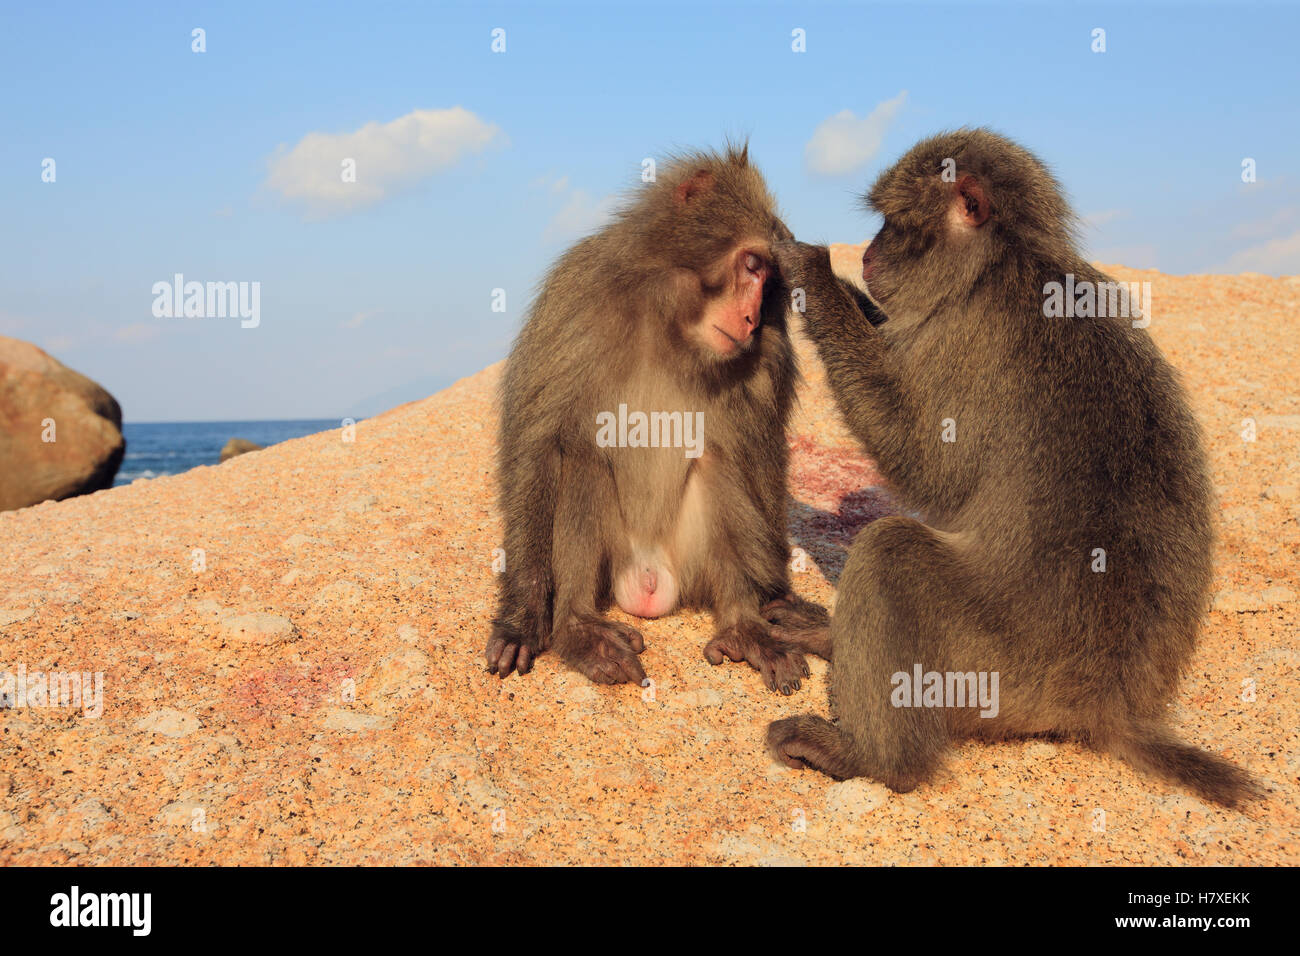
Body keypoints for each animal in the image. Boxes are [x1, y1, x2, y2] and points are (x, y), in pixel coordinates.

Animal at [486, 144, 828, 695]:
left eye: (772, 283)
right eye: (752, 264)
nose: (752, 318)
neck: (667, 321)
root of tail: (649, 584)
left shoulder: (770, 359)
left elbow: (760, 460)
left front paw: (777, 597)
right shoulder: (573, 297)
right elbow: (538, 444)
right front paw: (522, 617)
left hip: (691, 563)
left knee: (720, 463)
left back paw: (744, 625)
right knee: (582, 457)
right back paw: (580, 627)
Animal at [768, 129, 1261, 806]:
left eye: (894, 223)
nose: (867, 255)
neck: (1000, 265)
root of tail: (1104, 704)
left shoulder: (966, 337)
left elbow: (926, 464)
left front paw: (812, 276)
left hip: (991, 669)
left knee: (894, 552)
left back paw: (876, 760)